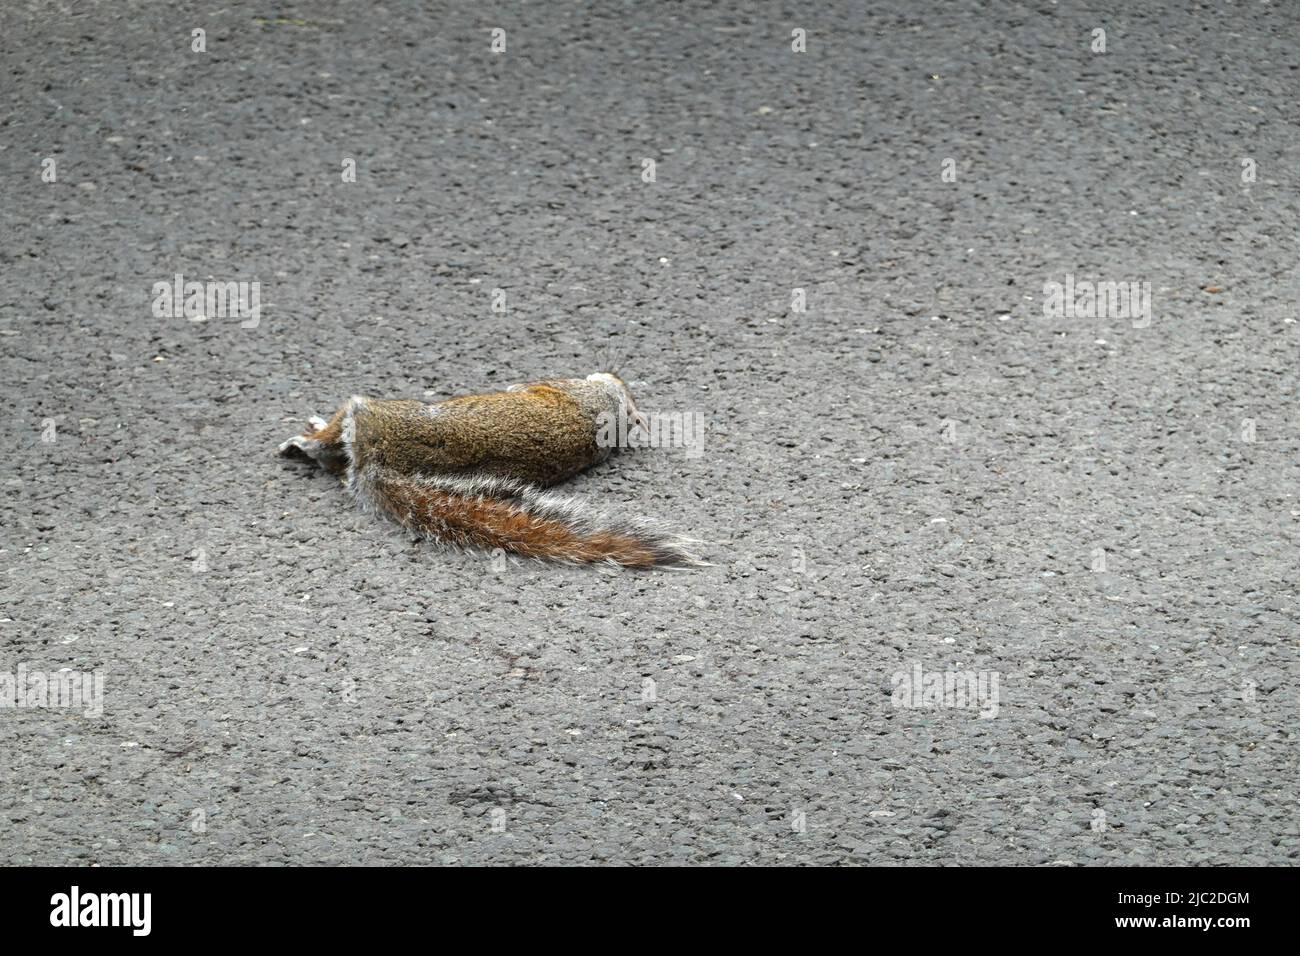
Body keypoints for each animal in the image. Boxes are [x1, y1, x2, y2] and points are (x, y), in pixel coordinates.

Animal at [278, 372, 705, 568]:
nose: (613, 376)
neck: (607, 414)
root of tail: (382, 462)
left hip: (366, 414)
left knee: (333, 440)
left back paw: (307, 441)